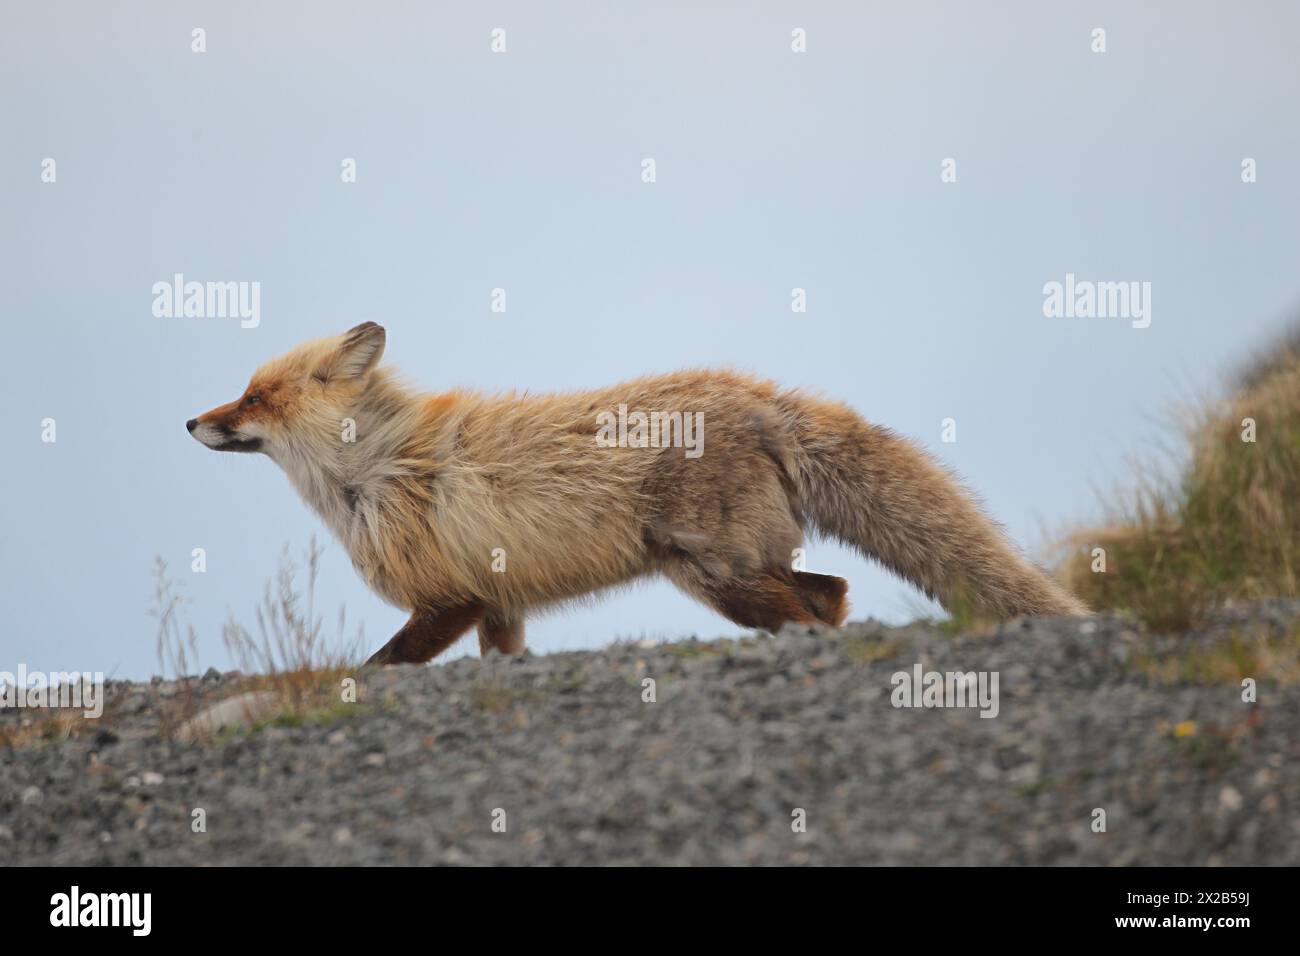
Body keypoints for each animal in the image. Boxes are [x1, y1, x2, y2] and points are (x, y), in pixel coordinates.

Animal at [188, 322, 1087, 665]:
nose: (192, 420)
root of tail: (758, 394)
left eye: (255, 398)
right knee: (830, 591)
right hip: (722, 571)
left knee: (815, 604)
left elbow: (382, 666)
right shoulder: (498, 604)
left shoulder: (448, 599)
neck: (375, 474)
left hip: (718, 573)